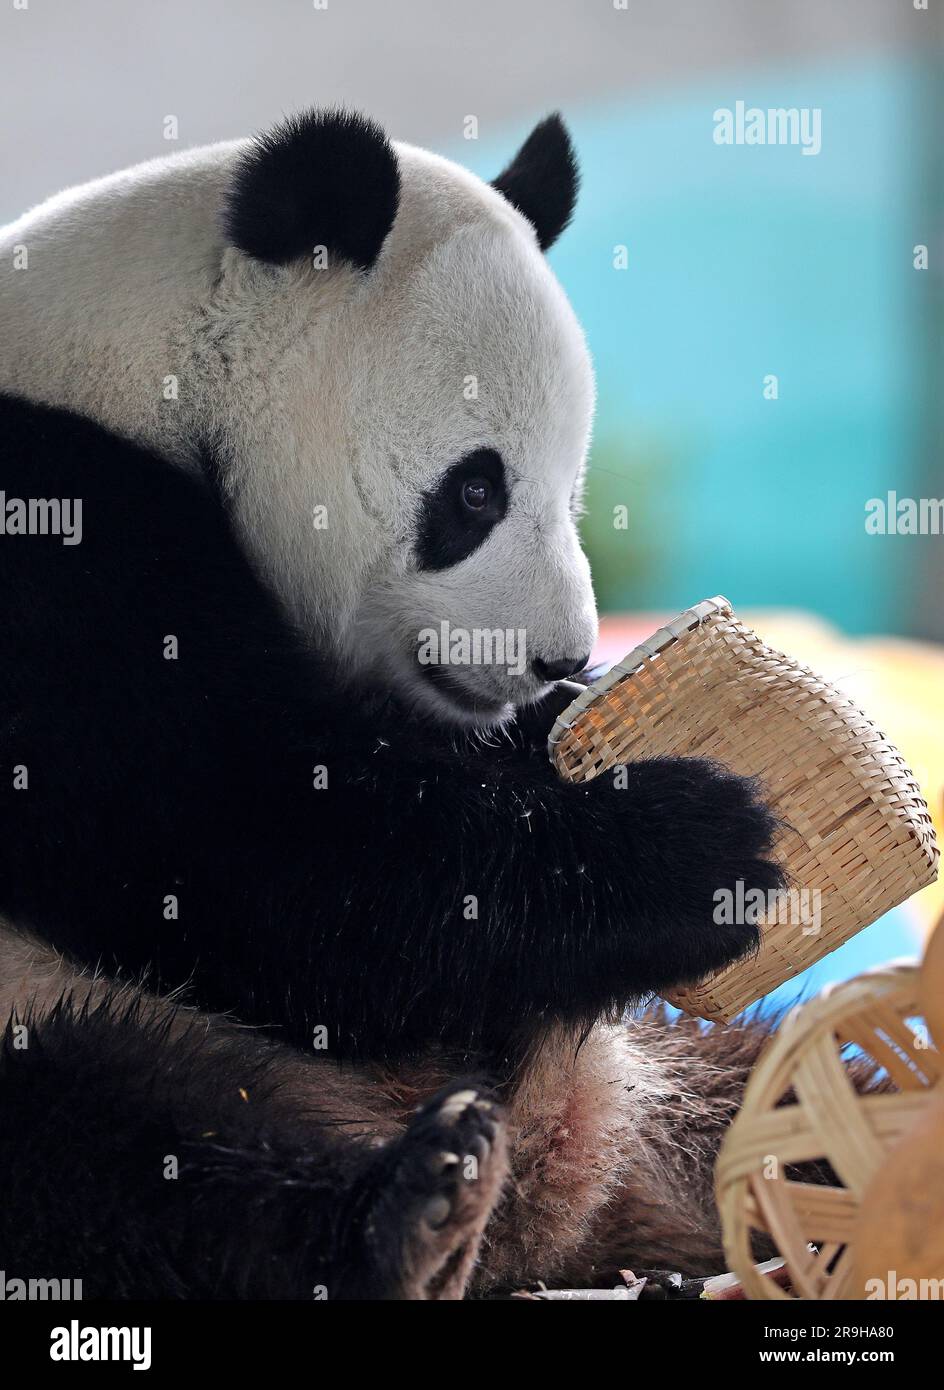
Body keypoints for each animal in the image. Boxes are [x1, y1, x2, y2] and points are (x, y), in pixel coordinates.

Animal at [0, 108, 785, 1298]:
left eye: (571, 488)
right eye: (475, 491)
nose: (558, 658)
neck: (136, 368)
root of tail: (564, 1175)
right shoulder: (43, 537)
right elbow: (242, 843)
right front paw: (699, 845)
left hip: (651, 1056)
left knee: (750, 1074)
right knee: (95, 1141)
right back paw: (402, 1216)